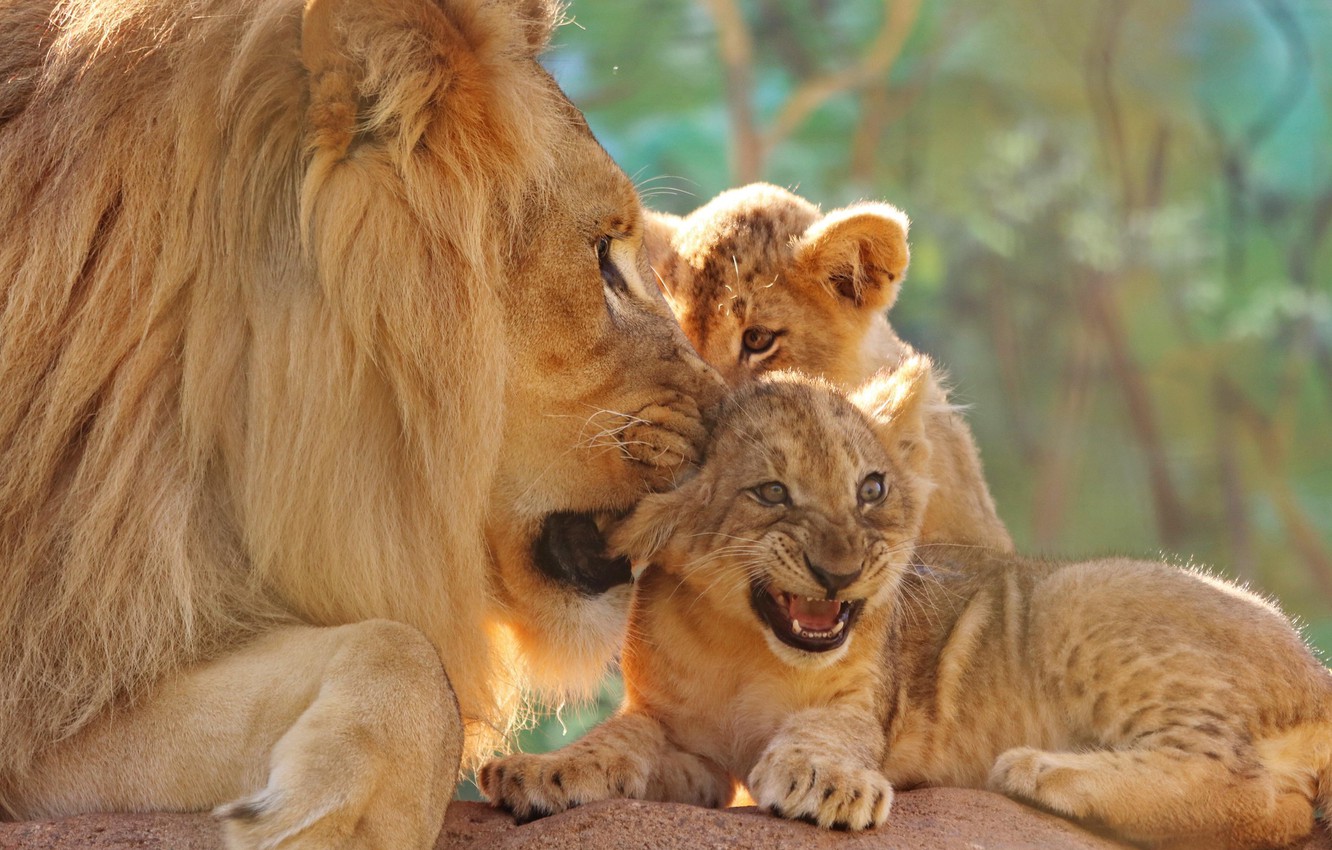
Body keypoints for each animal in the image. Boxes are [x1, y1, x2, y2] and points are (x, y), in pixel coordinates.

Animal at [482, 359, 1332, 850]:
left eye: (872, 488)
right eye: (771, 493)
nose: (841, 572)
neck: (741, 644)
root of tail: (1315, 672)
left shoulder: (862, 706)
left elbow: (826, 732)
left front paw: (828, 784)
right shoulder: (685, 746)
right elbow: (615, 742)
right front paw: (536, 773)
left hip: (1081, 595)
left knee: (1258, 795)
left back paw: (1041, 769)